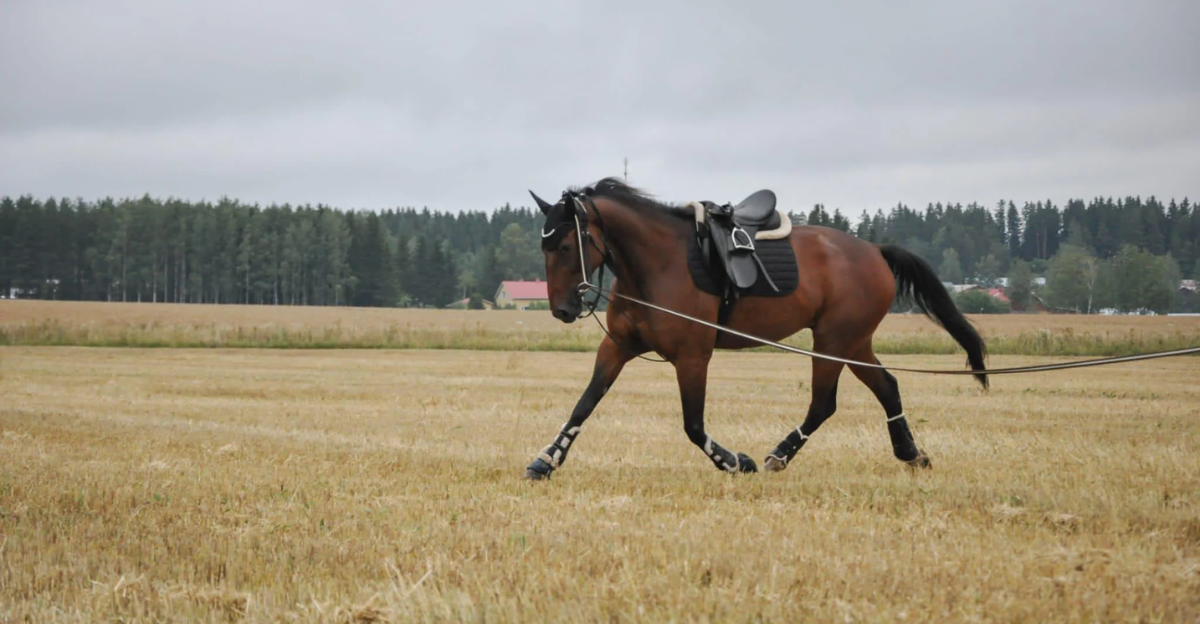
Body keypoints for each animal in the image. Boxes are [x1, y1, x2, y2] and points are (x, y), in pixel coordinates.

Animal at [523, 177, 988, 480]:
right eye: (543, 247)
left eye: (565, 245)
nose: (561, 309)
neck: (656, 265)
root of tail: (874, 250)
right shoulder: (618, 346)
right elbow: (584, 404)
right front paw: (547, 460)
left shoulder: (693, 357)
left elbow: (693, 425)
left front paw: (734, 462)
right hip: (853, 343)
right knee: (887, 386)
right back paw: (910, 453)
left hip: (834, 341)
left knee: (824, 404)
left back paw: (778, 455)